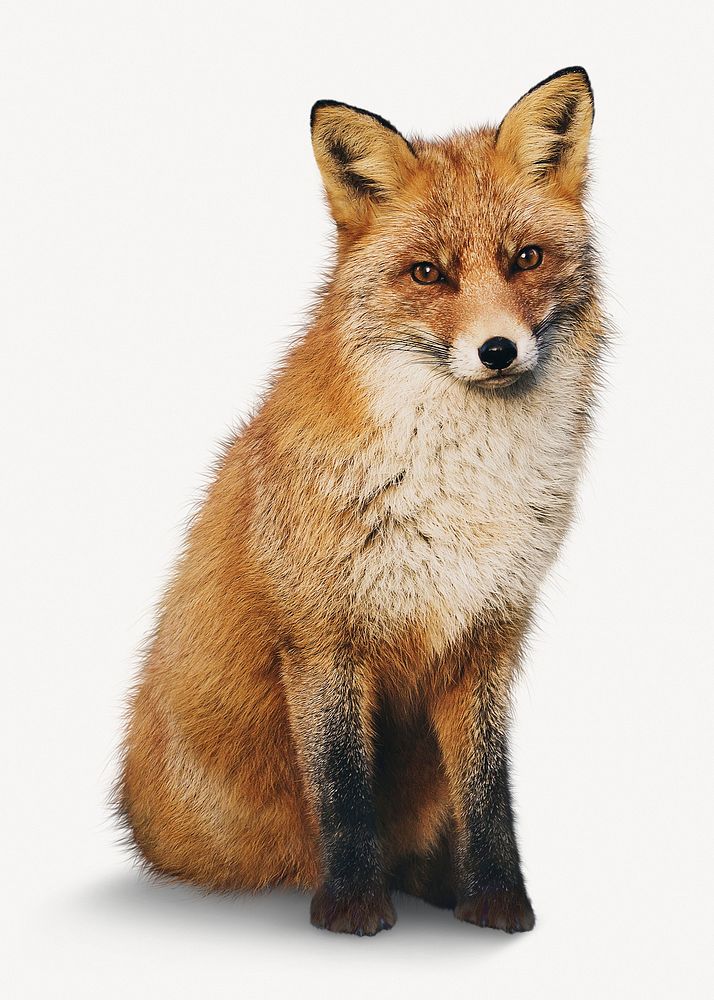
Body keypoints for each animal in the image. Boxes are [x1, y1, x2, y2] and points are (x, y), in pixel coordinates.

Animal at [118, 66, 605, 936]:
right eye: (428, 274)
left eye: (525, 258)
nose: (498, 350)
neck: (460, 491)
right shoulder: (322, 639)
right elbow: (343, 790)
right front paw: (351, 907)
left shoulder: (486, 638)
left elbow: (490, 796)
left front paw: (497, 901)